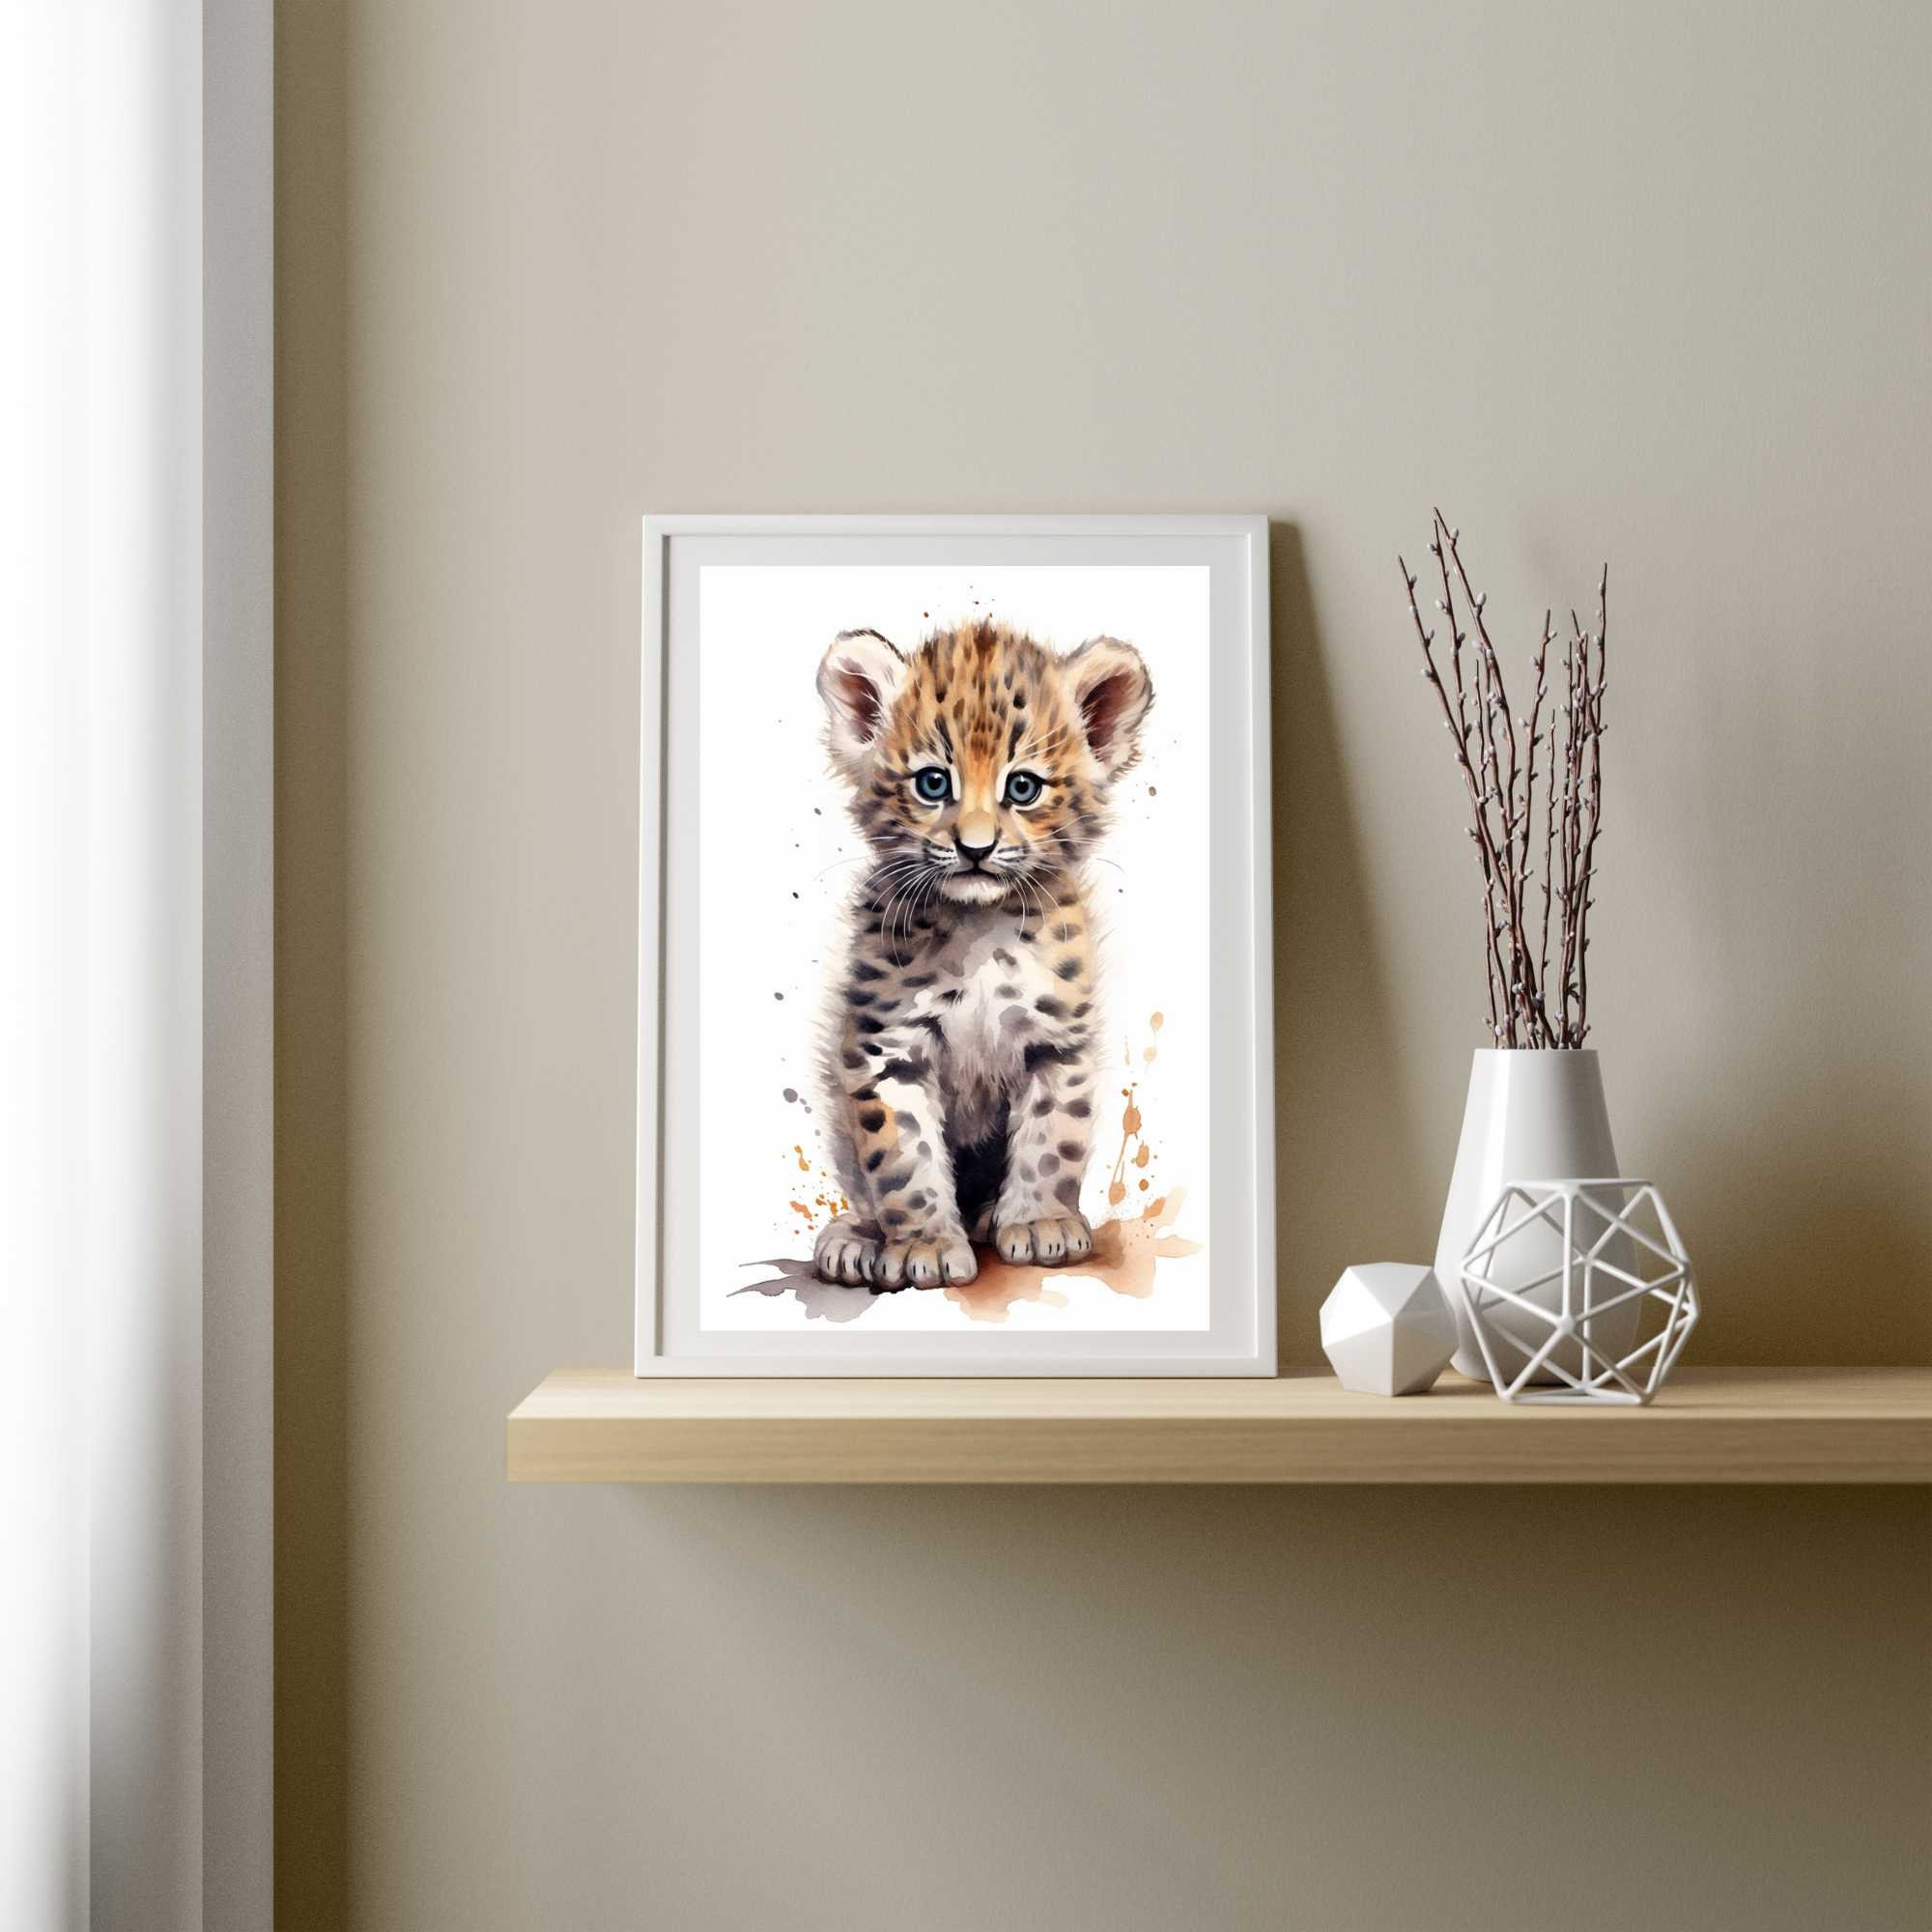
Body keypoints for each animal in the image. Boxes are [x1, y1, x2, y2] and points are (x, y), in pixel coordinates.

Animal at [809, 616, 1153, 1289]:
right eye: (932, 783)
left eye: (1022, 787)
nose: (975, 848)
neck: (979, 929)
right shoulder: (885, 1046)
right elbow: (901, 1157)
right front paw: (923, 1245)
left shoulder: (1056, 1040)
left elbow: (1051, 1139)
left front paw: (1041, 1223)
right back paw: (855, 1238)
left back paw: (993, 1216)